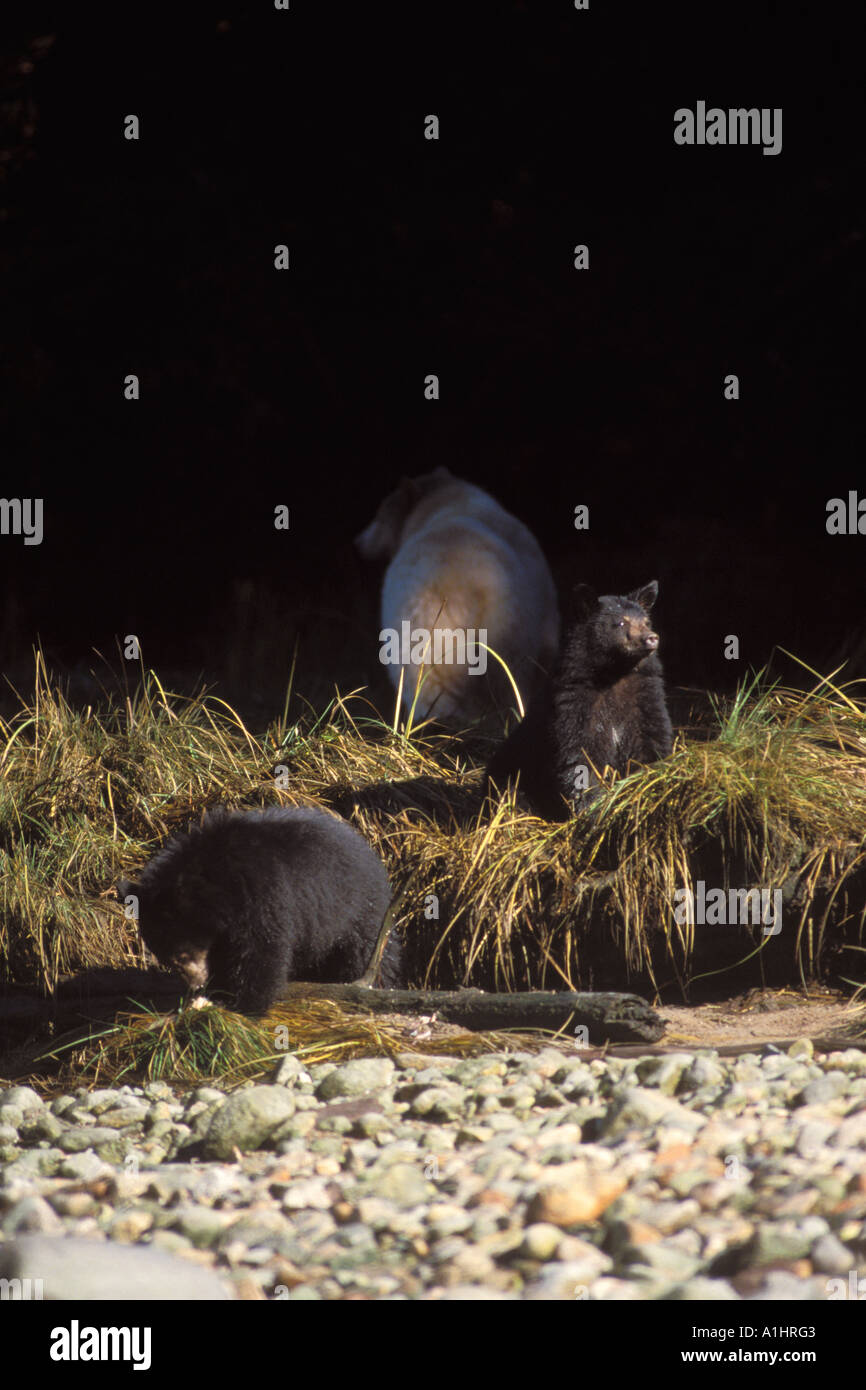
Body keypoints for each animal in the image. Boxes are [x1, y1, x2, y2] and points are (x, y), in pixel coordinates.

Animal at [117, 805, 403, 1014]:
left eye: (181, 955)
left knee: (365, 950)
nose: (196, 984)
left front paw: (245, 1003)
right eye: (166, 957)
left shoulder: (261, 893)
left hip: (356, 908)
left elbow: (261, 948)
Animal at [485, 580, 674, 820]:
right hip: (512, 765)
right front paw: (592, 807)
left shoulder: (645, 698)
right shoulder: (573, 704)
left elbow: (651, 739)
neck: (613, 675)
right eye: (620, 623)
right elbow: (577, 755)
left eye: (647, 621)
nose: (651, 637)